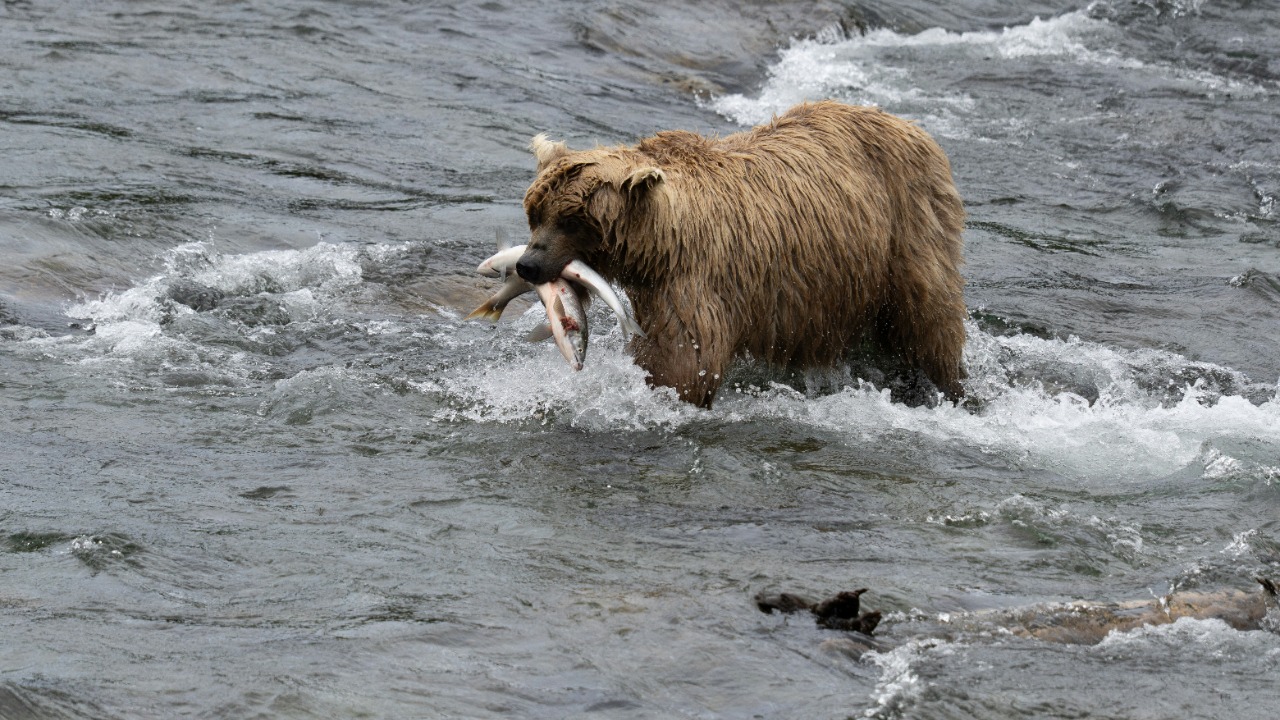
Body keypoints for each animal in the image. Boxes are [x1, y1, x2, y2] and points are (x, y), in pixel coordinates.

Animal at [515, 100, 967, 408]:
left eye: (573, 220)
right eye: (536, 212)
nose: (528, 264)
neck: (659, 245)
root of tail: (913, 126)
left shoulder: (695, 280)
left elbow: (684, 361)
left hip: (907, 232)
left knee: (930, 321)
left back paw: (949, 386)